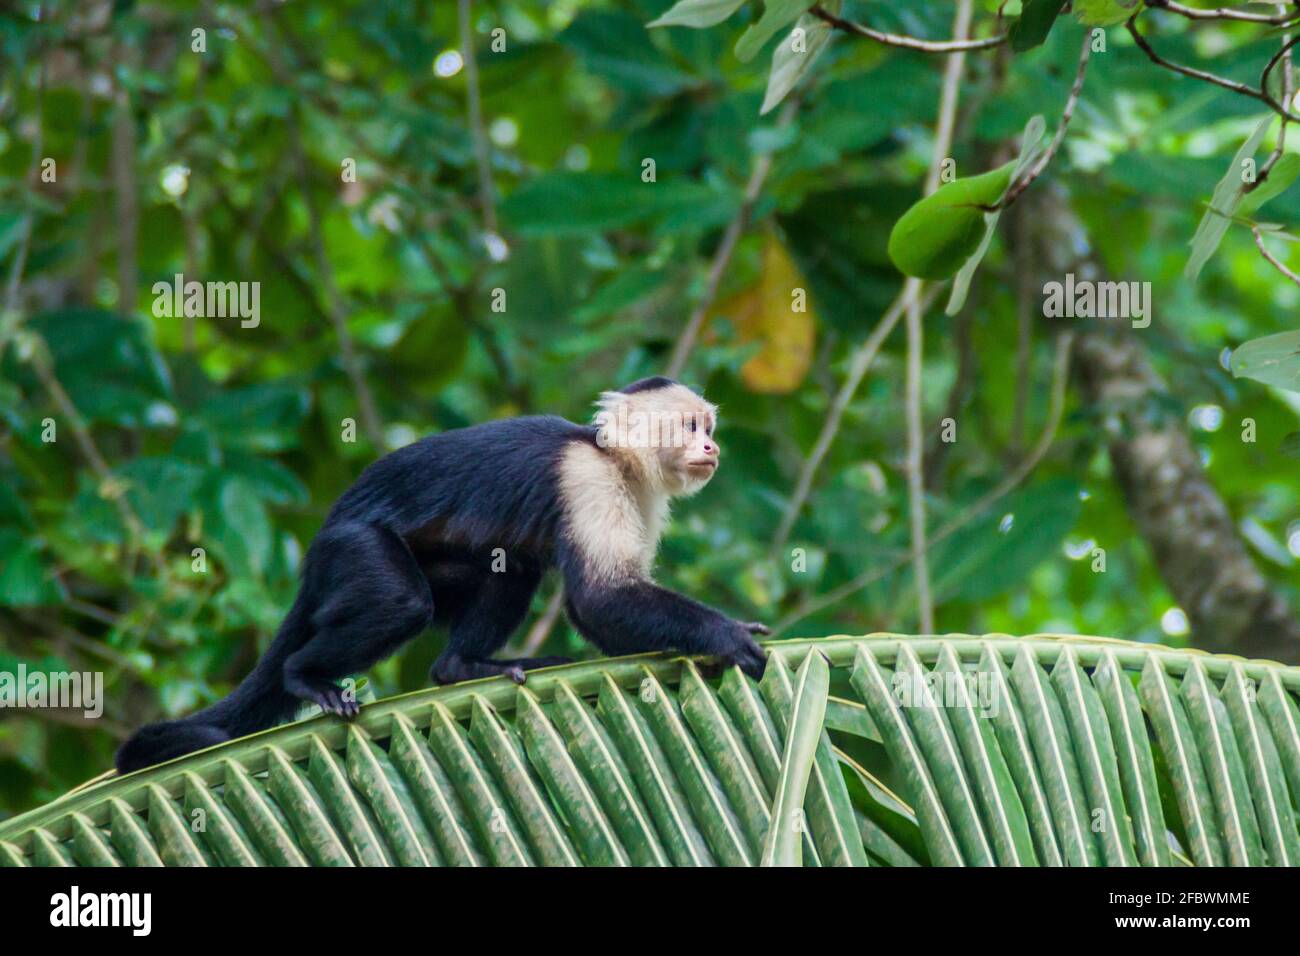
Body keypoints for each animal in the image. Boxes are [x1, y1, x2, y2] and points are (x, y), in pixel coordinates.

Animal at [115, 376, 769, 774]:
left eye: (707, 427)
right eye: (689, 427)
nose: (710, 449)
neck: (613, 456)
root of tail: (323, 538)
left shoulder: (645, 496)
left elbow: (602, 609)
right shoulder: (589, 478)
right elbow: (601, 598)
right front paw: (725, 635)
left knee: (509, 569)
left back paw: (463, 667)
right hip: (352, 549)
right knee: (400, 601)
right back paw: (306, 676)